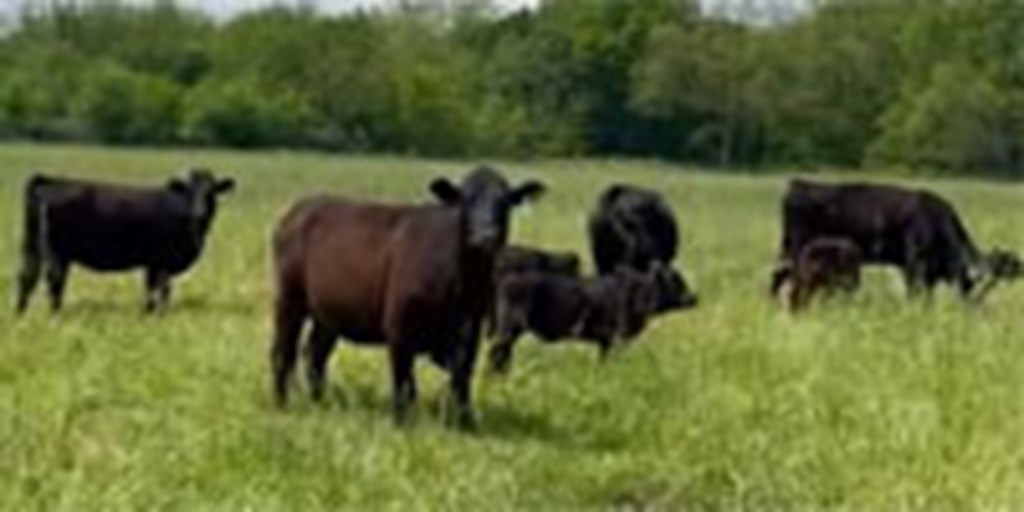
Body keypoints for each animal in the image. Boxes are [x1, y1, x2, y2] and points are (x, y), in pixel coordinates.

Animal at [16, 168, 235, 314]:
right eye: (189, 192)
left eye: (211, 193)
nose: (199, 213)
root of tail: (49, 181)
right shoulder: (162, 261)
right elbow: (161, 290)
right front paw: (156, 315)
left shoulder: (152, 263)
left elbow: (152, 289)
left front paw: (148, 313)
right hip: (57, 252)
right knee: (53, 280)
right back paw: (55, 315)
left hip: (31, 245)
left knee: (26, 276)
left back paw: (20, 315)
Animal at [270, 166, 544, 428]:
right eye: (465, 200)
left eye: (505, 202)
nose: (486, 235)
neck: (460, 282)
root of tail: (304, 206)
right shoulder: (399, 328)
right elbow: (405, 384)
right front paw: (402, 422)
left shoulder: (469, 330)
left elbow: (461, 380)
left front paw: (466, 422)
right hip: (288, 301)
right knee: (282, 353)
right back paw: (282, 404)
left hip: (328, 315)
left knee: (315, 356)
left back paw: (320, 402)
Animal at [487, 262, 697, 375]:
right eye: (674, 282)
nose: (693, 298)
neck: (637, 292)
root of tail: (506, 278)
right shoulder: (616, 338)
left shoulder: (605, 342)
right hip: (507, 330)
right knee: (497, 353)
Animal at [771, 179, 1021, 301]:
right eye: (969, 283)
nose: (970, 303)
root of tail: (797, 184)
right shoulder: (914, 267)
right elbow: (915, 298)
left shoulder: (925, 275)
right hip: (797, 253)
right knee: (786, 284)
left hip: (789, 253)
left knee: (778, 279)